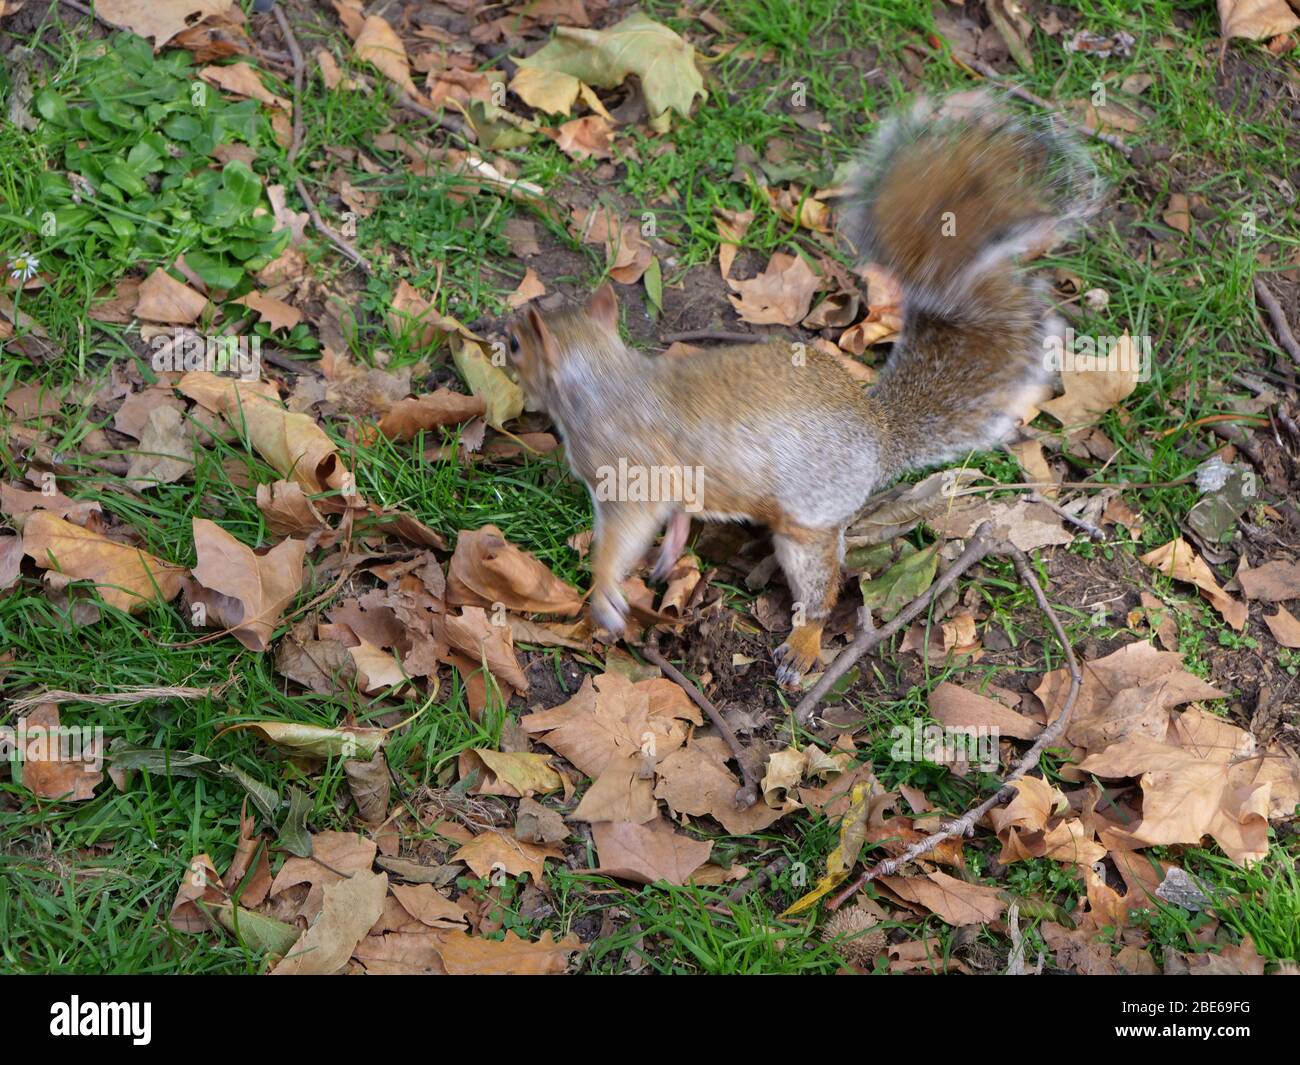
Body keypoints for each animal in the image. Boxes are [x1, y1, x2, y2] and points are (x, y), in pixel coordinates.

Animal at [506, 94, 1099, 686]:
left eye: (515, 344)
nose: (495, 337)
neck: (600, 378)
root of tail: (881, 436)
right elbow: (675, 516)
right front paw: (667, 553)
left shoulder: (628, 470)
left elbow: (624, 532)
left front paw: (603, 591)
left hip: (807, 524)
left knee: (823, 587)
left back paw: (804, 643)